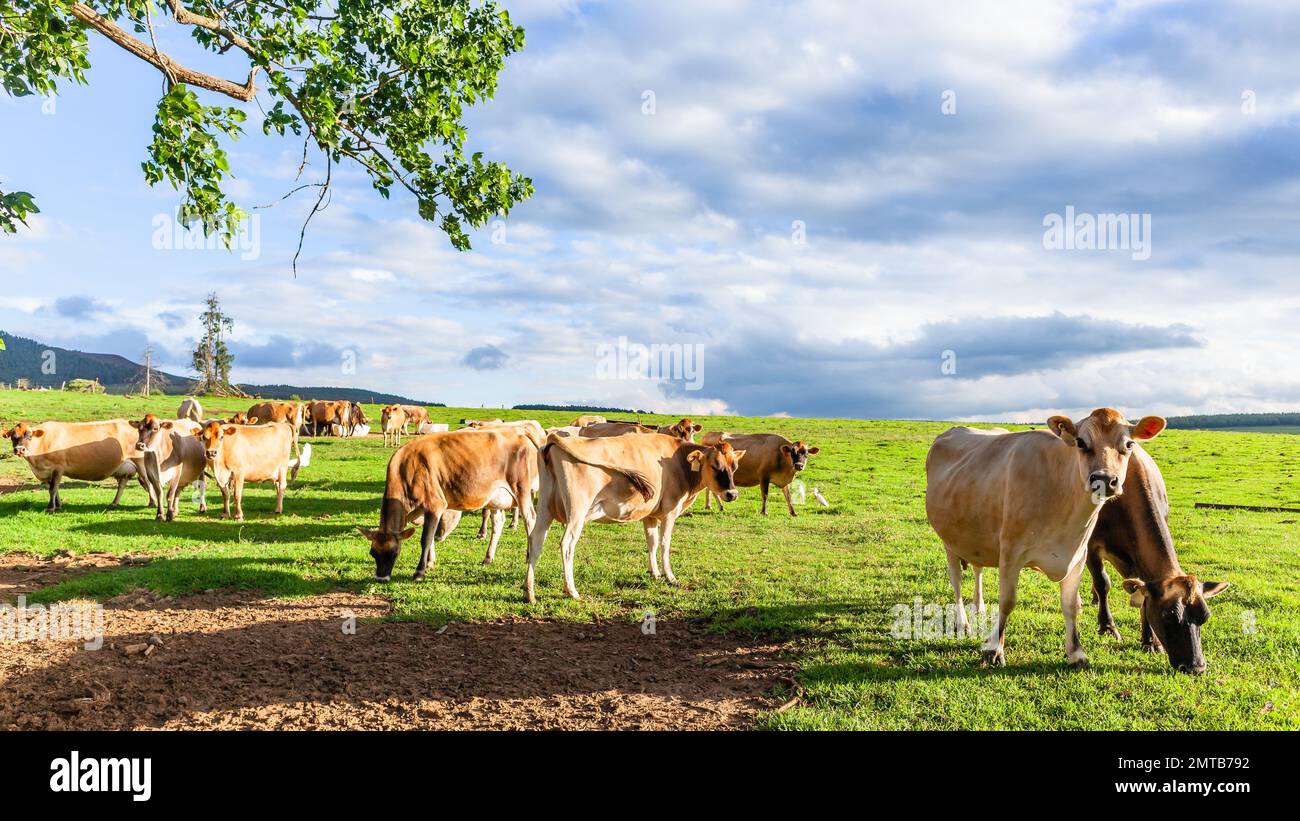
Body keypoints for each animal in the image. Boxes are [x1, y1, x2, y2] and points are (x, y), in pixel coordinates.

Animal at [2, 420, 151, 511]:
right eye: (13, 437)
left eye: (29, 435)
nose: (20, 449)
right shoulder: (48, 471)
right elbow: (55, 489)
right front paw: (58, 505)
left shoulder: (58, 468)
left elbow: (52, 489)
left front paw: (50, 508)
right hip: (123, 469)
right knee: (123, 484)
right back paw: (114, 503)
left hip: (141, 463)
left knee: (149, 482)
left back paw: (151, 503)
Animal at [356, 429, 539, 581]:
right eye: (373, 553)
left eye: (394, 553)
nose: (381, 578)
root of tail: (520, 434)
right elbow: (430, 536)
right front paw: (430, 562)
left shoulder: (435, 504)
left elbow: (425, 539)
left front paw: (419, 572)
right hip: (496, 498)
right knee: (498, 523)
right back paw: (488, 557)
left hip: (522, 490)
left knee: (530, 519)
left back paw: (529, 556)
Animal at [525, 432, 746, 603]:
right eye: (715, 466)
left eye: (734, 466)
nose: (732, 494)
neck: (677, 460)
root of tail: (555, 438)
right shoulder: (670, 511)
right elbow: (664, 543)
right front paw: (670, 576)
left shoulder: (650, 514)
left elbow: (652, 542)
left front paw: (655, 573)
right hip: (576, 511)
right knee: (567, 545)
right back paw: (571, 591)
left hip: (545, 507)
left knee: (535, 541)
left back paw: (530, 592)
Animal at [925, 408, 1166, 670]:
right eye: (1081, 442)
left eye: (1129, 444)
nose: (1104, 479)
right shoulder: (1010, 552)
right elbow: (1007, 601)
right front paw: (994, 649)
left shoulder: (1078, 555)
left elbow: (1070, 606)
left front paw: (1076, 652)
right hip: (949, 540)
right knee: (956, 580)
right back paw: (962, 622)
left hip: (975, 536)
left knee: (977, 569)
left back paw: (978, 606)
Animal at [1086, 445, 1230, 673]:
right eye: (1168, 615)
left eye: (1205, 617)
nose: (1196, 667)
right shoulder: (1091, 544)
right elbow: (1103, 583)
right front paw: (1107, 627)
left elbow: (1143, 594)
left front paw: (1150, 641)